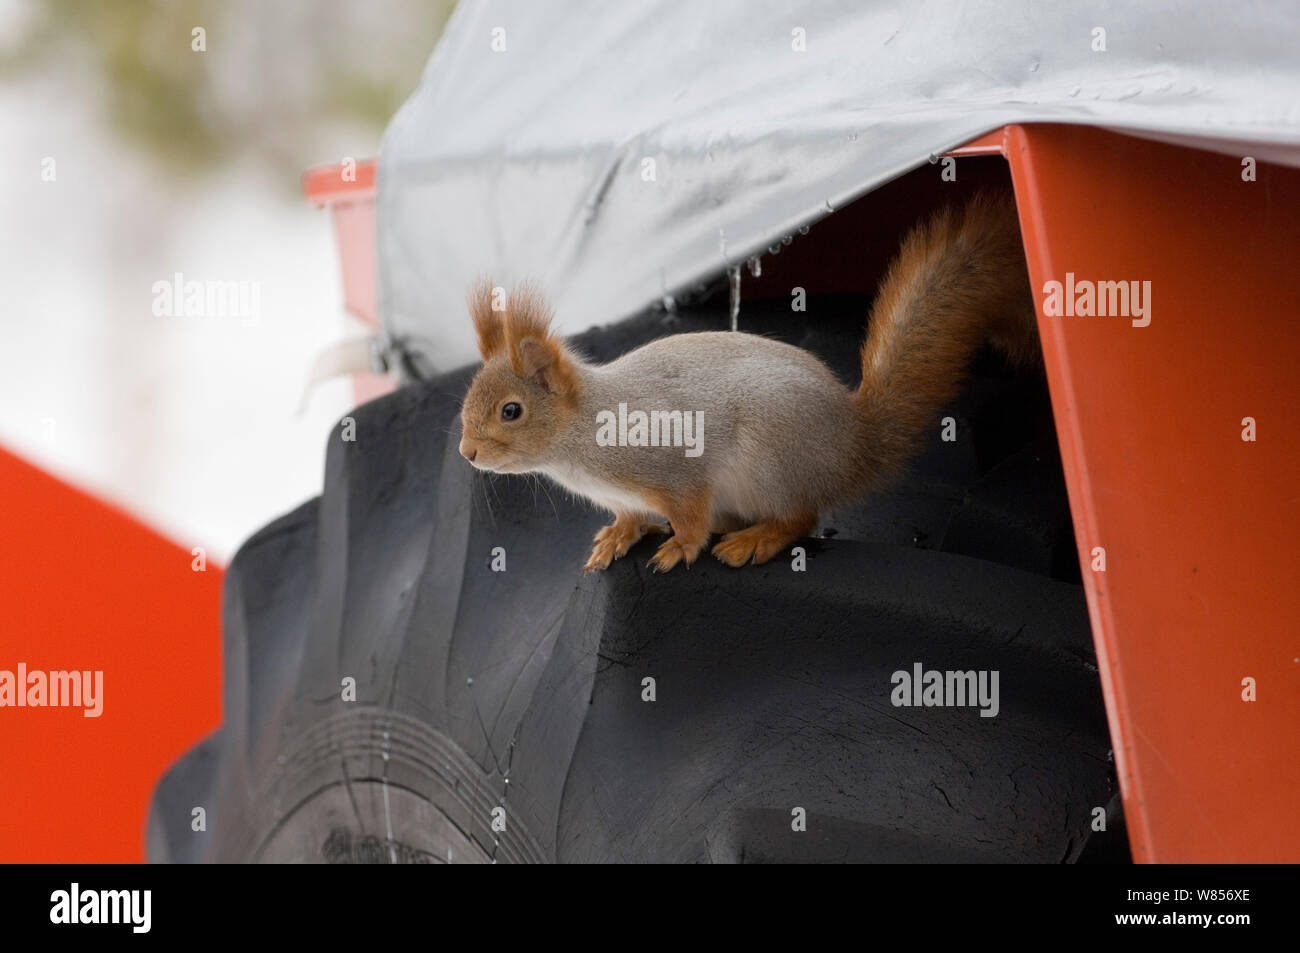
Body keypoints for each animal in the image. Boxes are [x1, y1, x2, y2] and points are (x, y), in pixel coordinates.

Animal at [458, 190, 1039, 573]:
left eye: (511, 410)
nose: (467, 452)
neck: (580, 441)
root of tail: (855, 446)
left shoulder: (675, 467)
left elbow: (690, 511)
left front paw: (681, 546)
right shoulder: (626, 495)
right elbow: (630, 516)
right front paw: (619, 536)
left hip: (771, 463)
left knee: (801, 517)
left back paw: (755, 539)